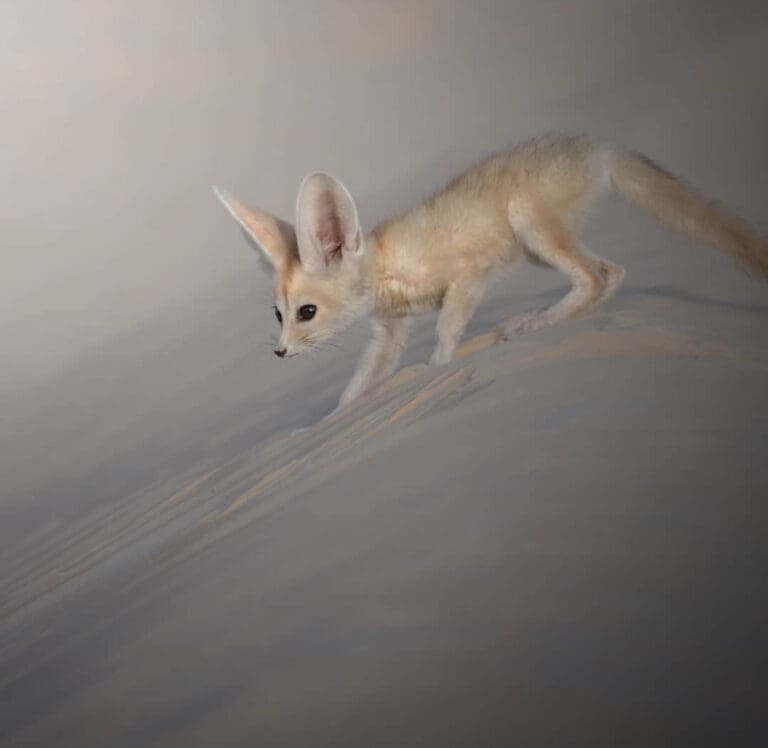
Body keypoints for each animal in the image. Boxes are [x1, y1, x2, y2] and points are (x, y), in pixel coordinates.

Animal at [213, 133, 767, 418]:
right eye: (278, 314)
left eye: (307, 313)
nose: (280, 352)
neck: (386, 261)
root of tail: (599, 148)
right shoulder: (389, 332)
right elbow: (359, 385)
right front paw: (327, 424)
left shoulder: (465, 279)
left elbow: (444, 337)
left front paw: (438, 370)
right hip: (540, 250)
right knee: (613, 272)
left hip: (533, 229)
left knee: (594, 275)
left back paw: (533, 324)